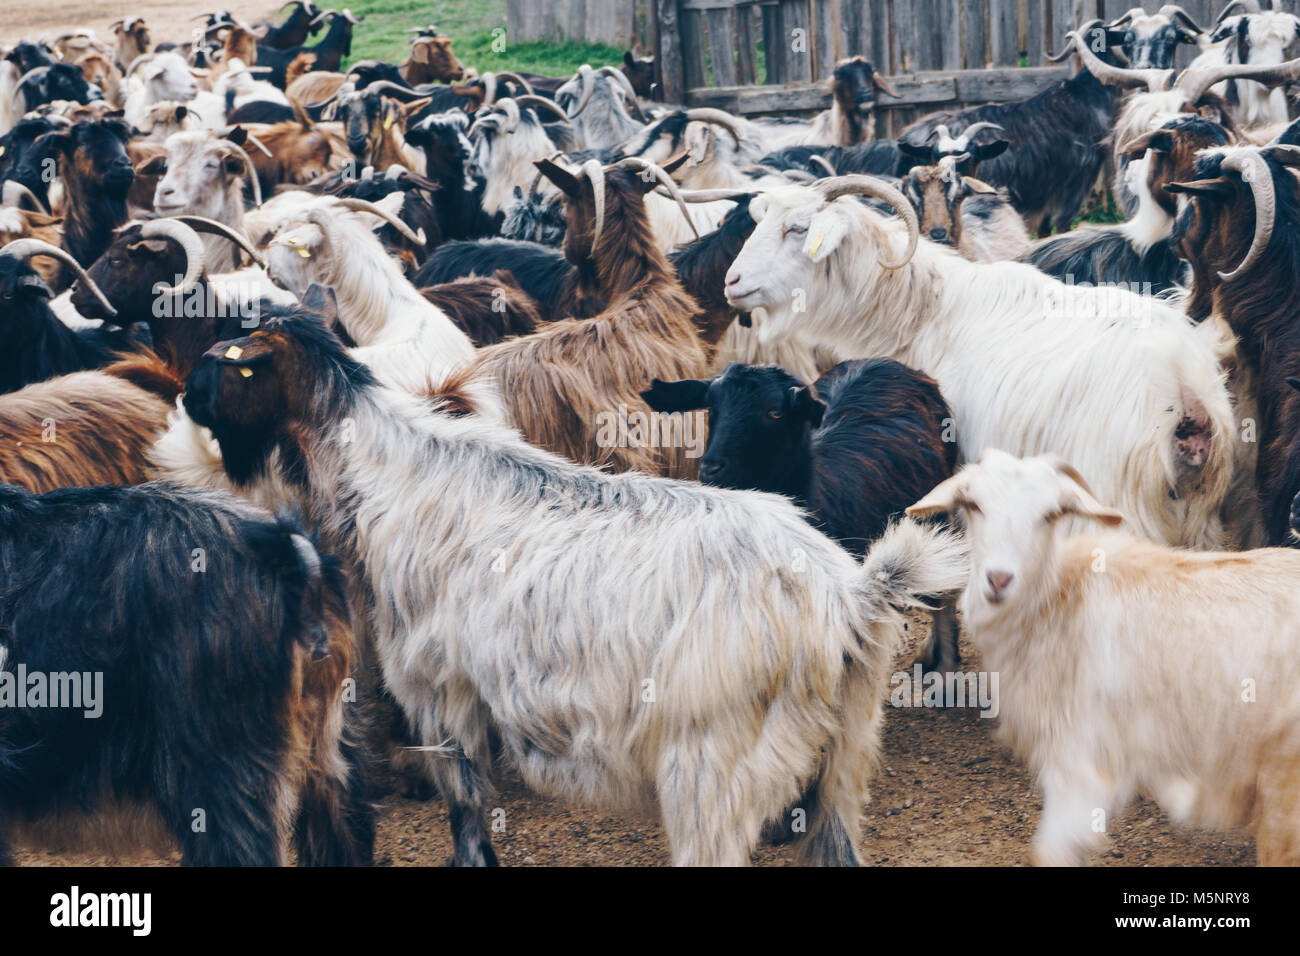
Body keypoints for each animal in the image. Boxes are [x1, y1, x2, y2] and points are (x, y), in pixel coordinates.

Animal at [182, 297, 969, 866]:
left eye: (224, 362)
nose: (186, 399)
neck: (387, 467)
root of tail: (850, 599)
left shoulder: (440, 689)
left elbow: (467, 808)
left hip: (712, 770)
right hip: (844, 762)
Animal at [909, 450, 1300, 866]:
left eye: (1050, 514)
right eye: (974, 505)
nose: (998, 579)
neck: (1059, 600)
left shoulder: (1079, 761)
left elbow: (1050, 850)